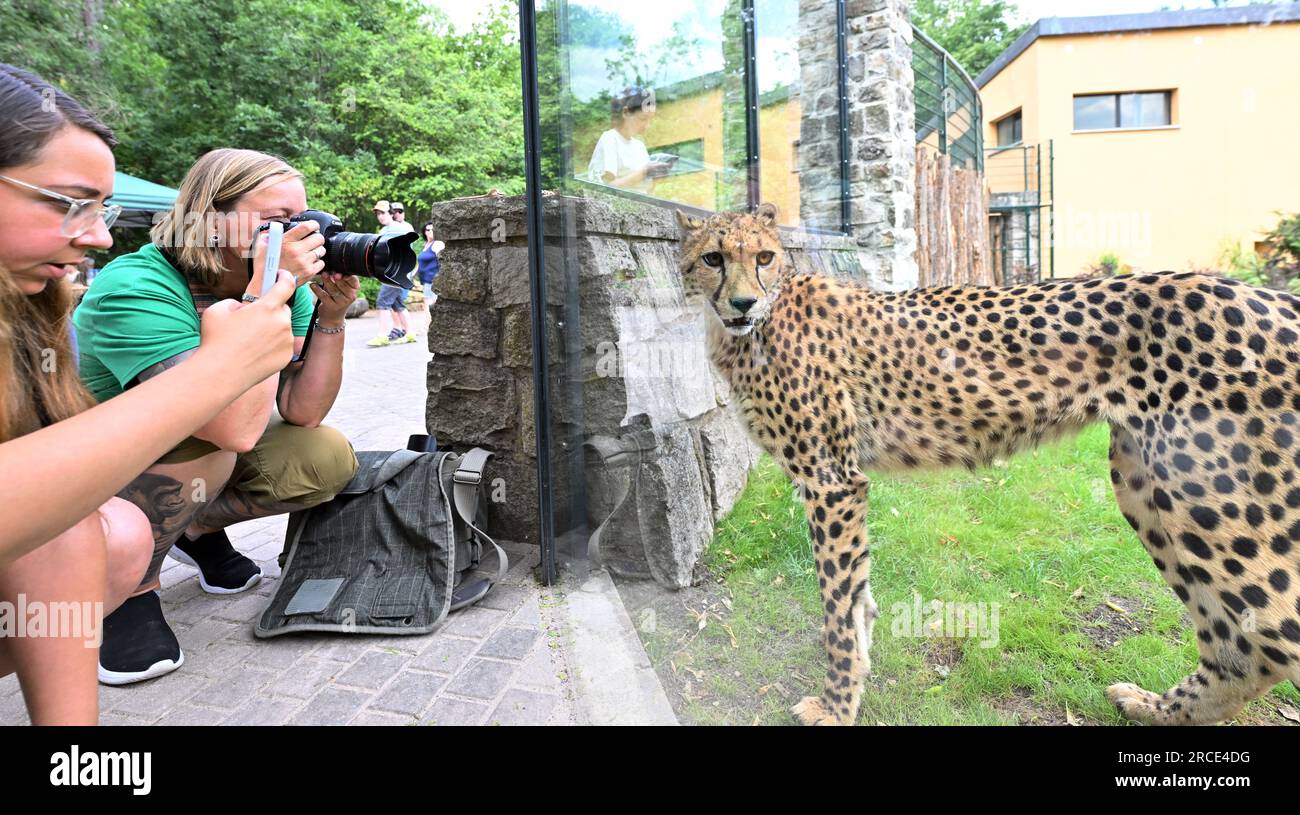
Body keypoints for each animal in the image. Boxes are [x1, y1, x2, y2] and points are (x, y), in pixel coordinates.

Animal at [674, 202, 1300, 726]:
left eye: (763, 257)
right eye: (713, 258)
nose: (742, 303)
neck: (751, 327)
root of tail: (1269, 296)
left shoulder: (832, 481)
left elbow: (837, 604)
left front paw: (837, 706)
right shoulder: (837, 482)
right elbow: (856, 597)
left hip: (1212, 501)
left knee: (1272, 631)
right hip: (1143, 478)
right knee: (1238, 644)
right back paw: (1153, 708)